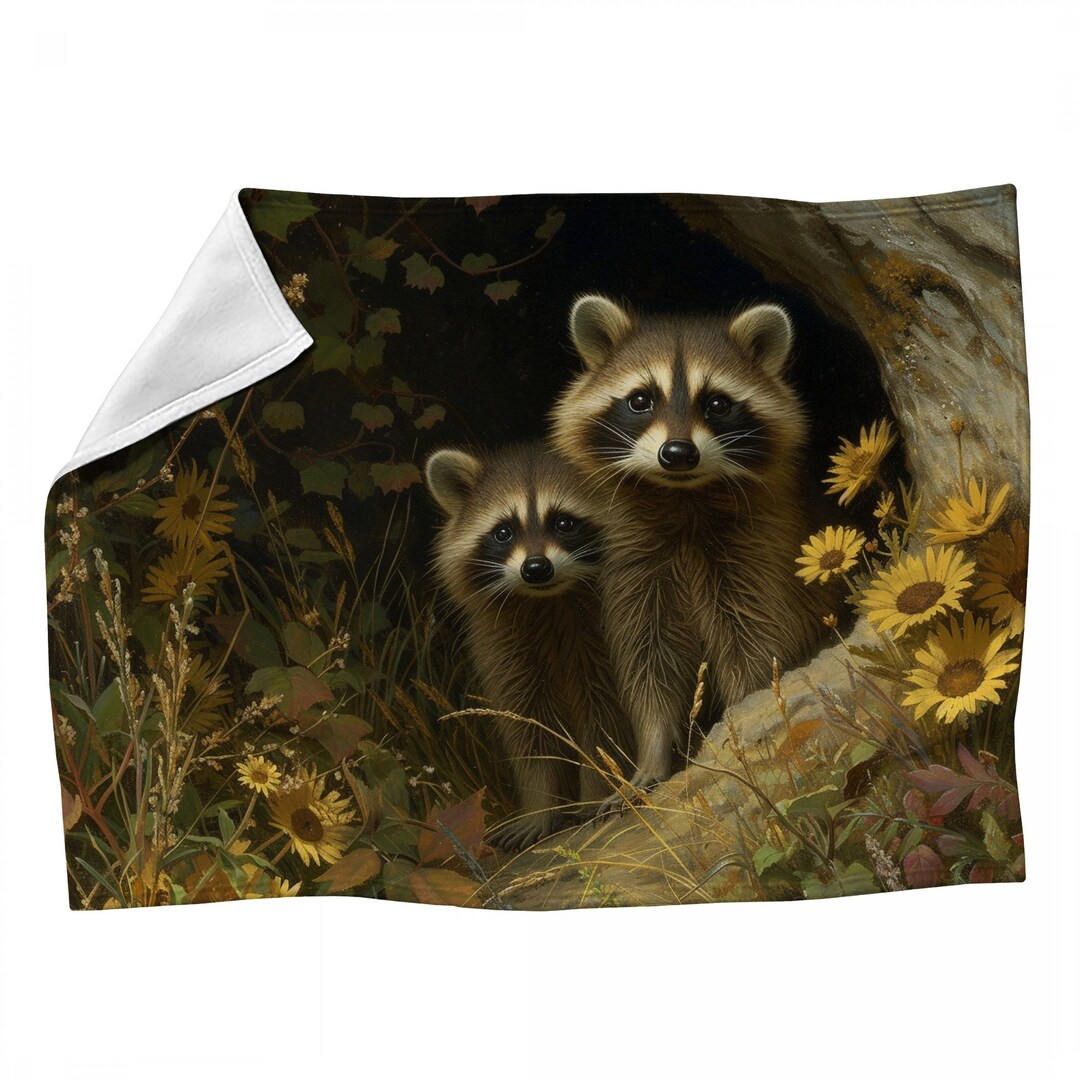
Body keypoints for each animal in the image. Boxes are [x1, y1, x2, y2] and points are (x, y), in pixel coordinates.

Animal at [424, 441, 633, 849]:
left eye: (564, 522)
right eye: (504, 531)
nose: (536, 568)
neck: (546, 600)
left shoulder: (604, 634)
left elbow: (604, 719)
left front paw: (596, 792)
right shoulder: (502, 644)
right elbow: (527, 727)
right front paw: (540, 808)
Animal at [550, 295, 831, 806]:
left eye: (717, 403)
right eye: (640, 400)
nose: (678, 453)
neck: (681, 496)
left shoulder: (757, 553)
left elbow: (756, 649)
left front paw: (741, 721)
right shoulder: (634, 567)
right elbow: (648, 664)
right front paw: (653, 752)